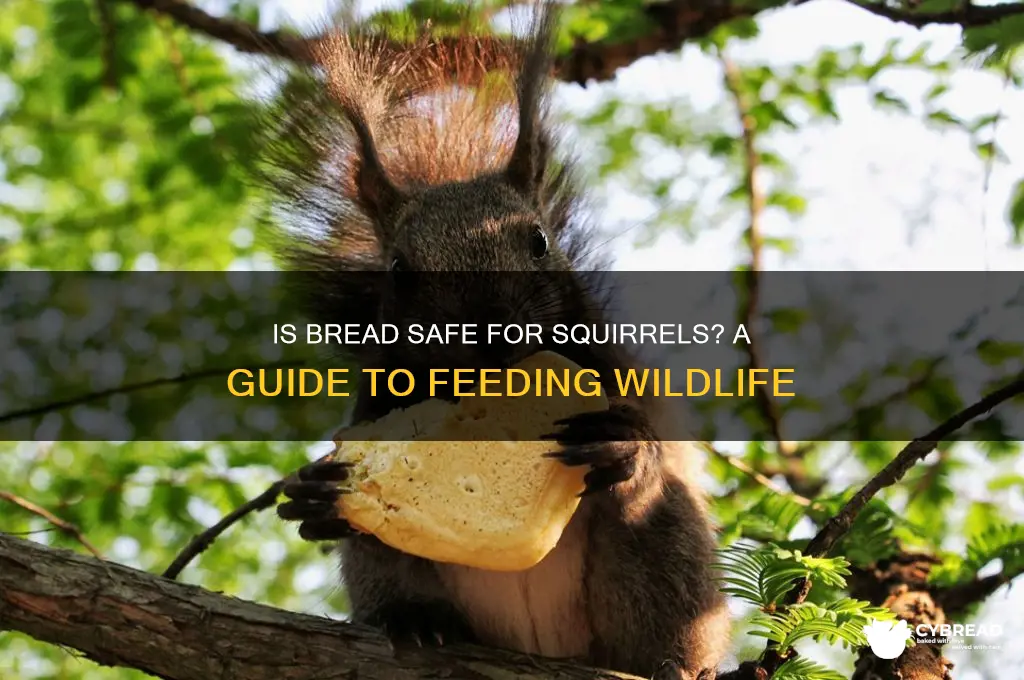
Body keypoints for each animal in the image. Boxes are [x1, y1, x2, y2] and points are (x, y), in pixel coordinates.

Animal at [268, 4, 731, 679]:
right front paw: (315, 495)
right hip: (390, 568)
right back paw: (414, 620)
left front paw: (622, 443)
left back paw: (675, 661)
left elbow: (656, 442)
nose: (488, 335)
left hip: (665, 559)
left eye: (539, 241)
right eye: (398, 269)